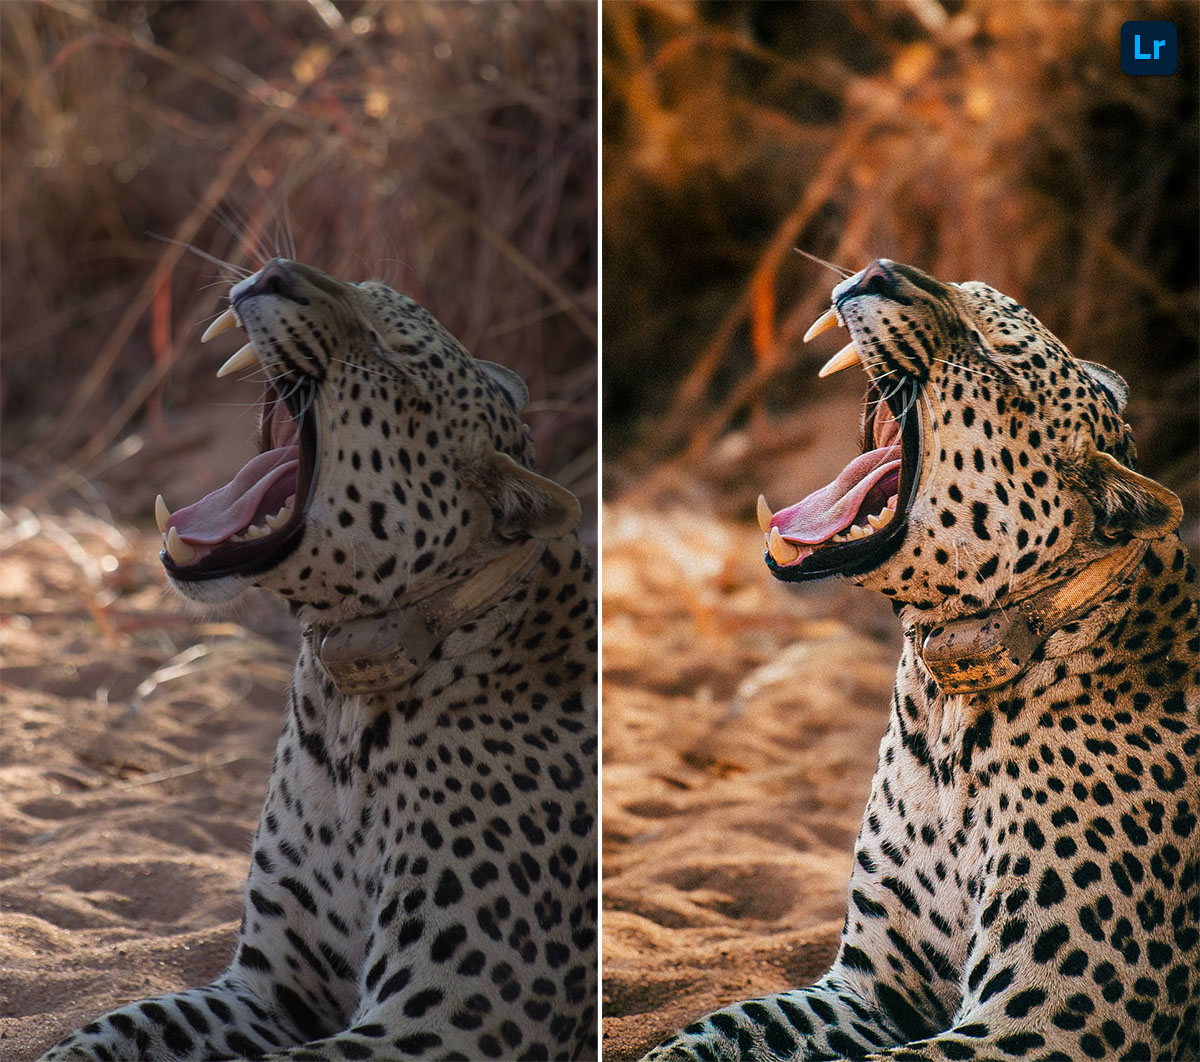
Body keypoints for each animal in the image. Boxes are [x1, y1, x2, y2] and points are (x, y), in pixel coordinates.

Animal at [41, 258, 598, 1062]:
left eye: (395, 350)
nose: (275, 271)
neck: (346, 712)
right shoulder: (274, 991)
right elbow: (124, 1021)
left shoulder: (448, 1022)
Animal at [642, 259, 1198, 1062]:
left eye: (997, 353)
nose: (878, 270)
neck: (949, 711)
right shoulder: (876, 990)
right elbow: (729, 1022)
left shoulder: (1050, 1023)